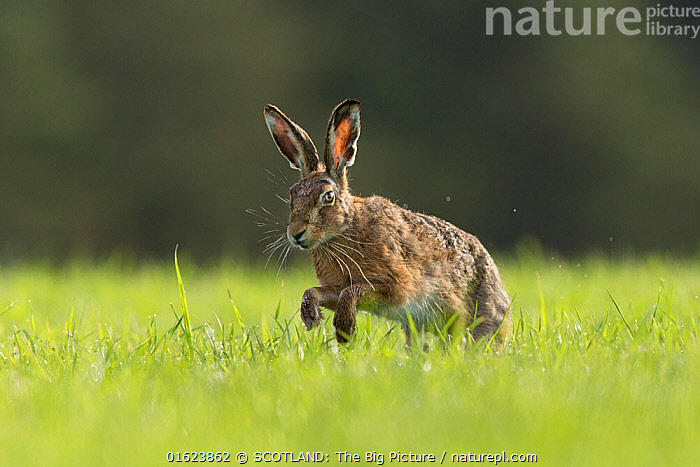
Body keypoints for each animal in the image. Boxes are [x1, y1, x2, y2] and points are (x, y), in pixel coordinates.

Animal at [263, 99, 511, 345]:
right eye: (293, 195)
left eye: (328, 197)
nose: (296, 233)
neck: (345, 230)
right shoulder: (334, 288)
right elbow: (314, 291)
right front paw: (312, 317)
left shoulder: (394, 287)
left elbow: (352, 292)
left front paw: (344, 330)